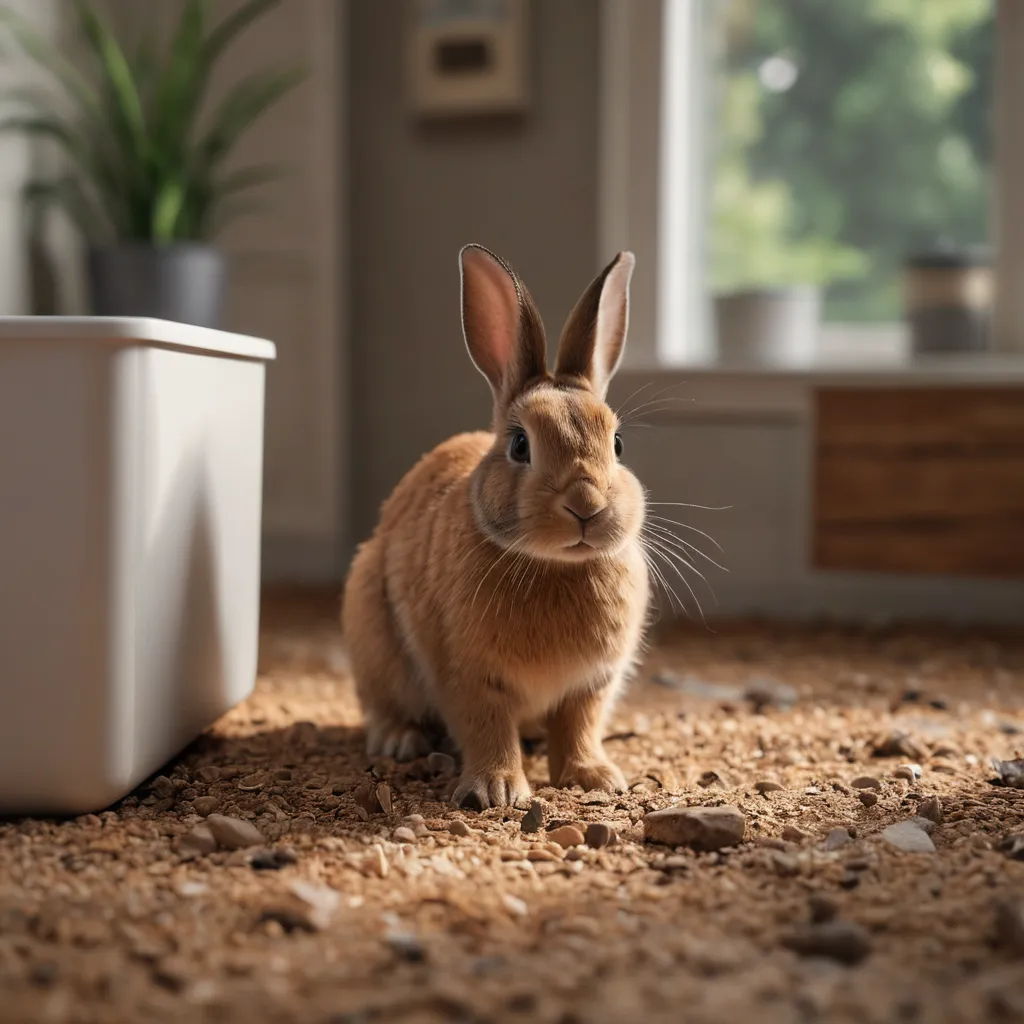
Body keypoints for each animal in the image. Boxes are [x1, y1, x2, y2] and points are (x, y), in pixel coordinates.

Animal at [342, 244, 649, 809]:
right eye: (520, 445)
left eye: (617, 445)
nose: (586, 504)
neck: (555, 565)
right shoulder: (466, 673)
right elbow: (486, 726)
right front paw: (497, 791)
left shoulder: (592, 683)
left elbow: (580, 725)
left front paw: (595, 778)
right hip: (370, 633)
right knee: (382, 708)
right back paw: (401, 741)